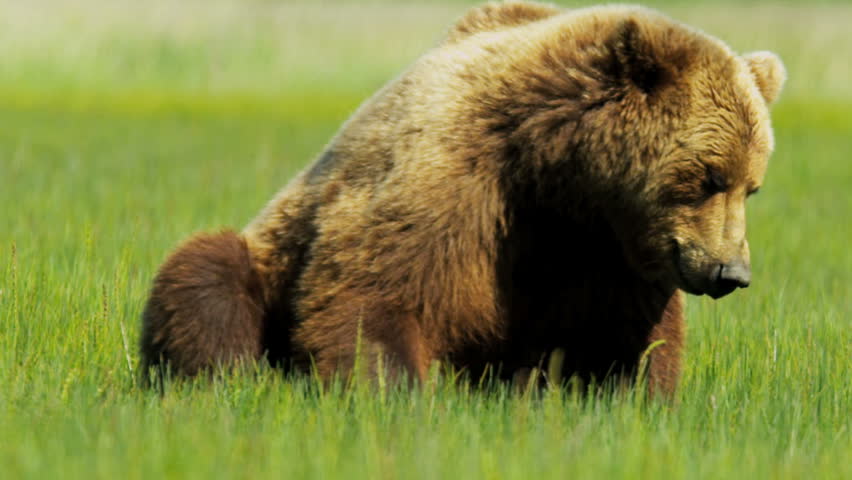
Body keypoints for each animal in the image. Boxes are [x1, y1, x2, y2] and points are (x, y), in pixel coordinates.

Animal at [140, 1, 785, 396]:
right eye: (708, 177)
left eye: (751, 185)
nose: (731, 272)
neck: (555, 172)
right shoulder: (454, 186)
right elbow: (375, 291)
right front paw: (395, 391)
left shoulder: (606, 247)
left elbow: (627, 340)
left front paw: (630, 399)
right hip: (270, 257)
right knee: (207, 275)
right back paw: (223, 378)